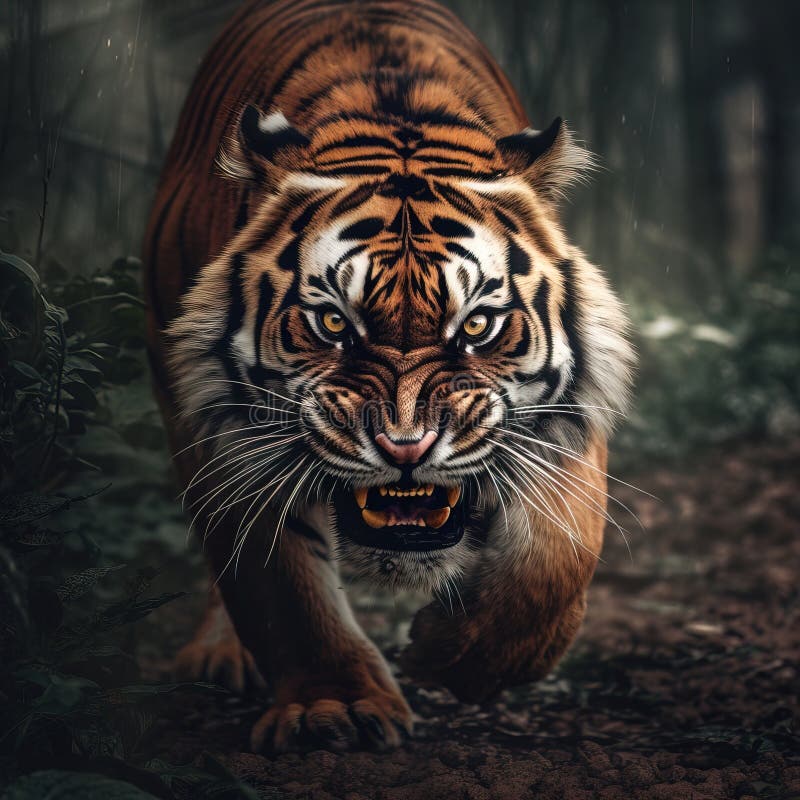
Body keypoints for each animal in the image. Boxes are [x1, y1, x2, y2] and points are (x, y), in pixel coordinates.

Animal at [144, 0, 634, 753]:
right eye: (332, 323)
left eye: (476, 325)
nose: (407, 447)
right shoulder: (223, 433)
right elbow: (279, 582)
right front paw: (333, 708)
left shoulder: (561, 419)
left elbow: (559, 555)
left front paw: (459, 659)